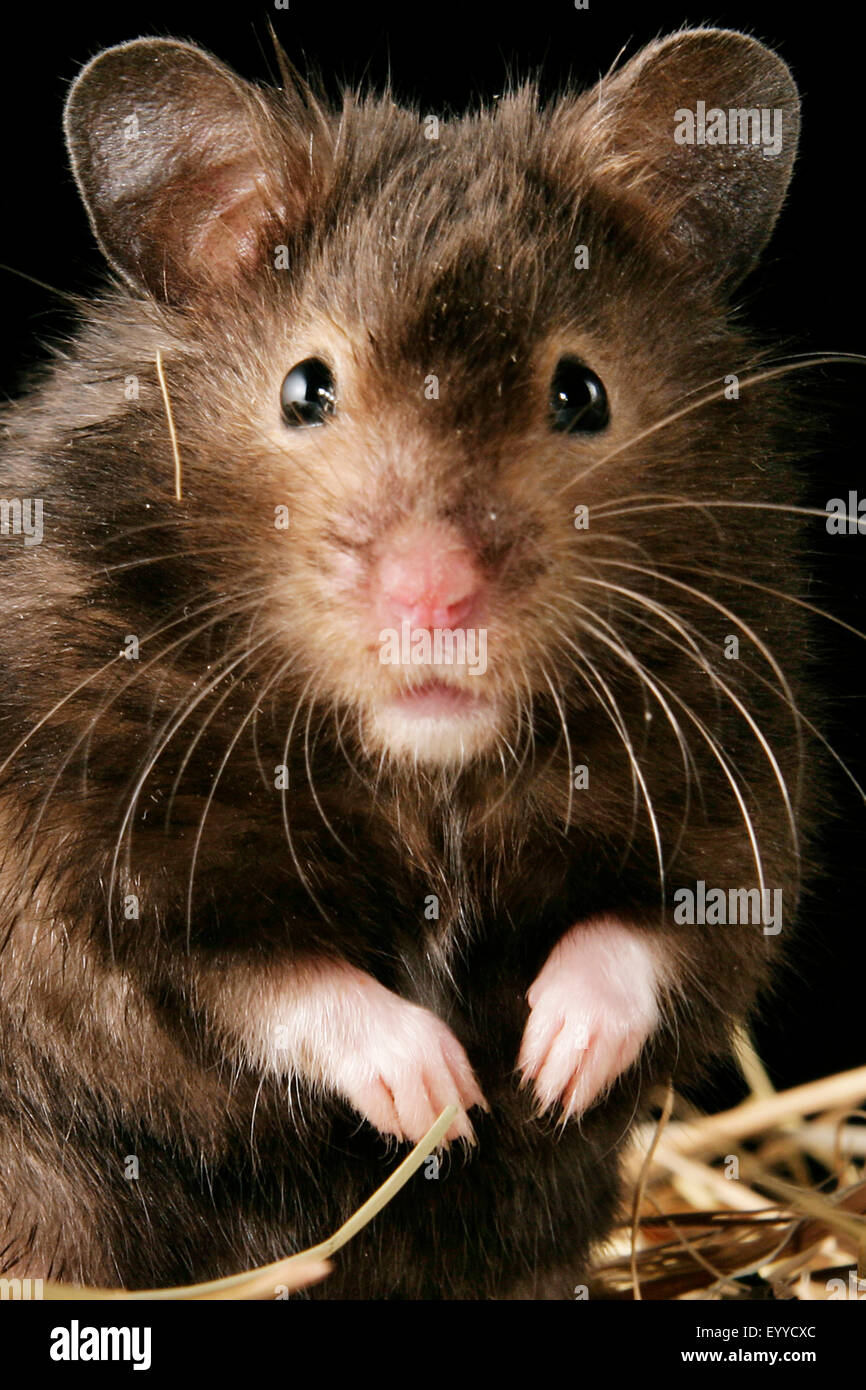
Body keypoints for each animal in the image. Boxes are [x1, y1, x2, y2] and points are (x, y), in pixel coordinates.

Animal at [0, 27, 810, 1298]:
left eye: (578, 391)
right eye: (305, 388)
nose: (435, 599)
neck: (429, 772)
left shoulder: (737, 784)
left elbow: (661, 934)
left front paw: (543, 1066)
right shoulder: (76, 856)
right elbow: (244, 980)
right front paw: (441, 1091)